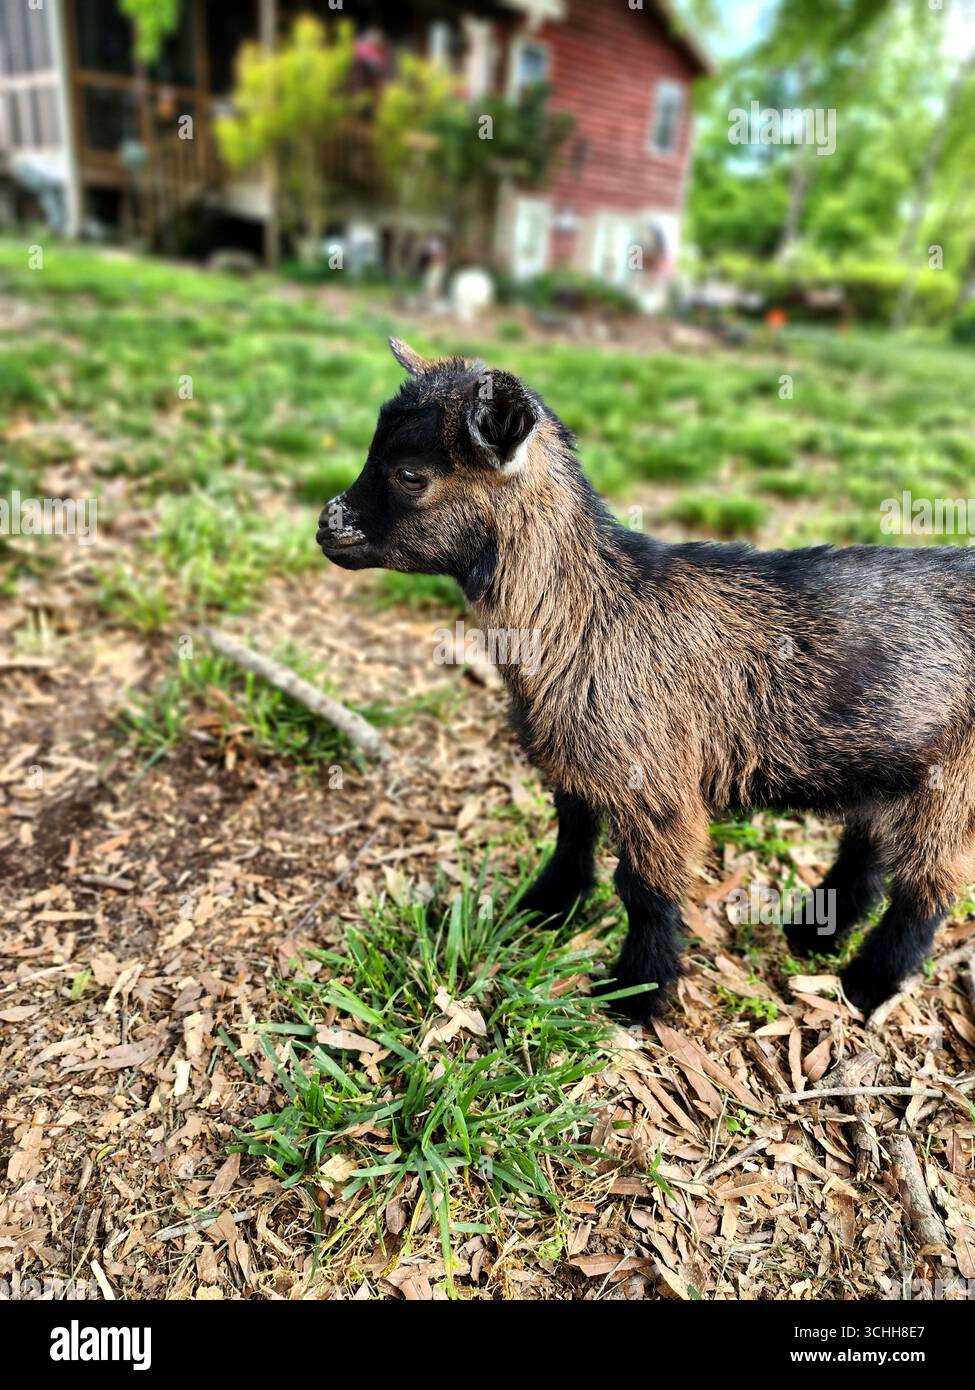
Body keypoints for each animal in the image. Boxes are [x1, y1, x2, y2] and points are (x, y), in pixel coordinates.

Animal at [317, 337, 975, 1019]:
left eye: (410, 475)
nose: (326, 526)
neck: (591, 611)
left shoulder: (655, 782)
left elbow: (645, 890)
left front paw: (636, 993)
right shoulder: (576, 760)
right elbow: (573, 832)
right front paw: (545, 910)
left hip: (953, 778)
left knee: (929, 884)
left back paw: (866, 982)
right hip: (892, 755)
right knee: (870, 845)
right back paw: (815, 932)